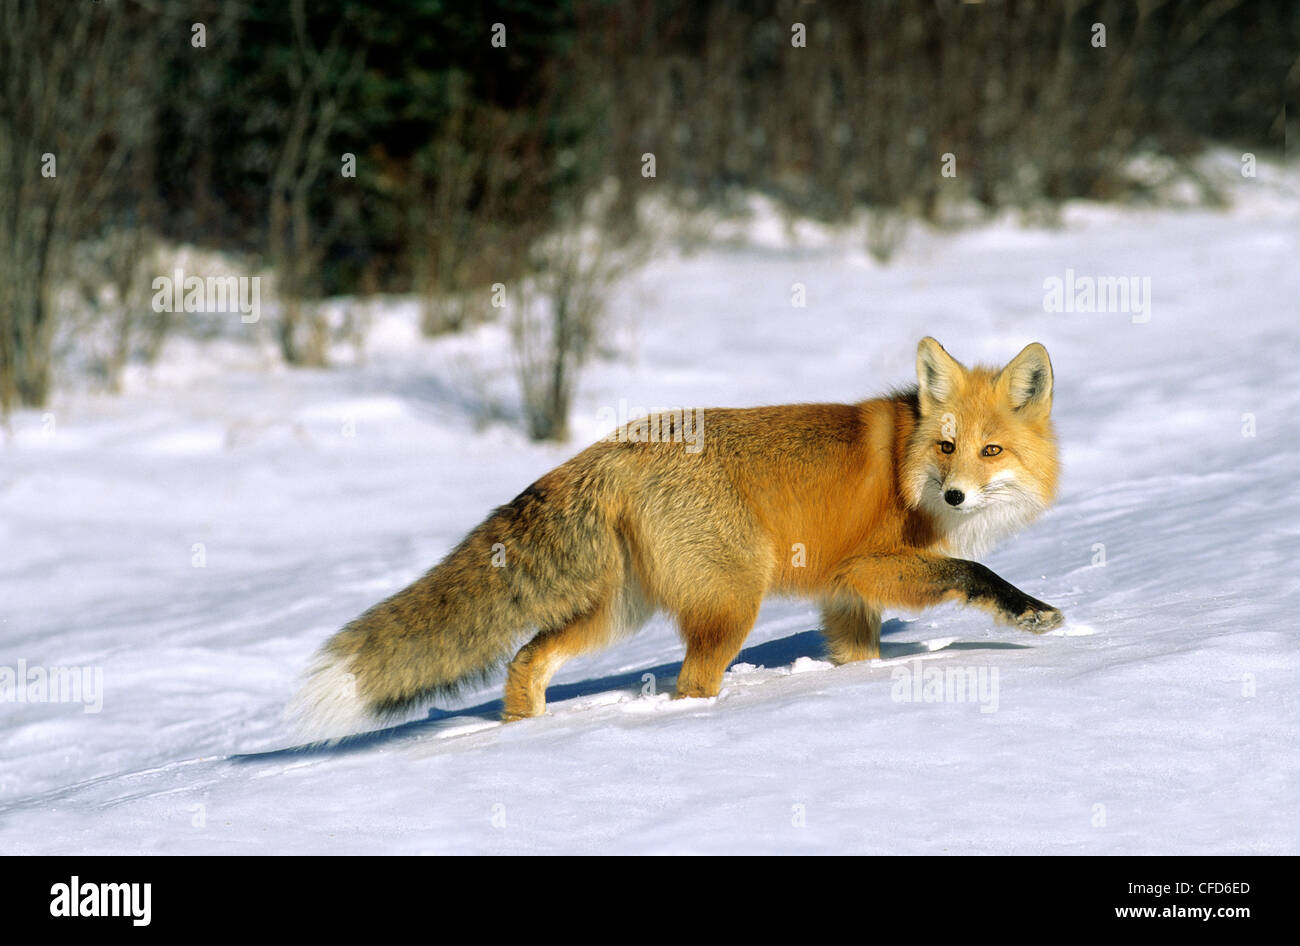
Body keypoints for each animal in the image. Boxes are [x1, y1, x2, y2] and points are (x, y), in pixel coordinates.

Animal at [288, 337, 1063, 741]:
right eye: (947, 448)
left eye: (991, 451)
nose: (956, 493)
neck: (907, 468)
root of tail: (613, 443)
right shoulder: (866, 566)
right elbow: (970, 573)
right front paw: (1029, 613)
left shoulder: (844, 599)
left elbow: (858, 656)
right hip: (731, 602)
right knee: (689, 687)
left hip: (616, 612)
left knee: (526, 658)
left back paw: (527, 736)